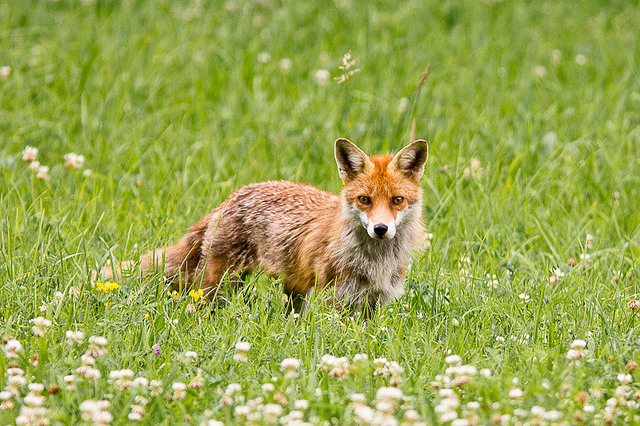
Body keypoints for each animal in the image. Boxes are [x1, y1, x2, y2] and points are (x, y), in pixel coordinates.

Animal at [97, 138, 429, 316]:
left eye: (397, 200)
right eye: (364, 200)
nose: (381, 229)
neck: (374, 260)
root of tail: (231, 197)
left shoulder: (375, 301)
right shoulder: (334, 298)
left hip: (292, 291)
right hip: (216, 284)